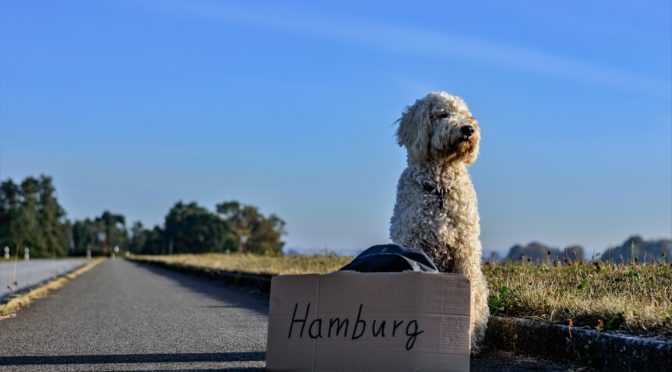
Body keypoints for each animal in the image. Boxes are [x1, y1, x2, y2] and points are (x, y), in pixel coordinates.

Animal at [388, 90, 488, 352]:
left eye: (465, 114)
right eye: (442, 114)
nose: (468, 129)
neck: (439, 189)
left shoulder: (465, 250)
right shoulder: (412, 242)